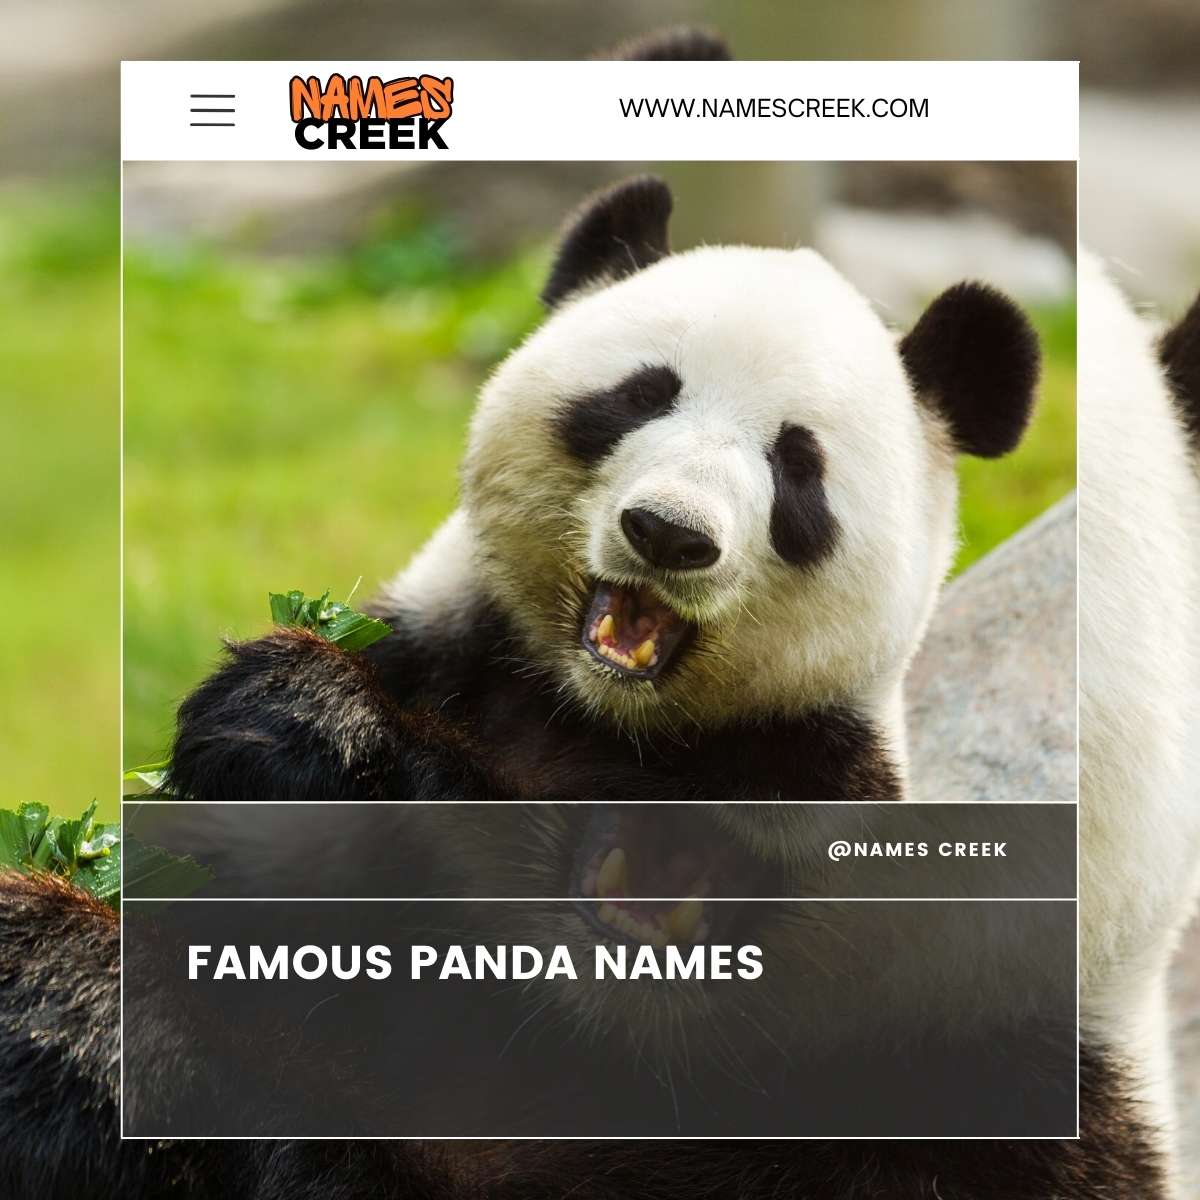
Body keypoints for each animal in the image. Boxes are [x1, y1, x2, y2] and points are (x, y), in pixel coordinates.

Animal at [0, 178, 1193, 1197]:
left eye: (797, 464)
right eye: (639, 396)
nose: (670, 532)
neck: (595, 713)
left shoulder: (798, 828)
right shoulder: (453, 656)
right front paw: (276, 728)